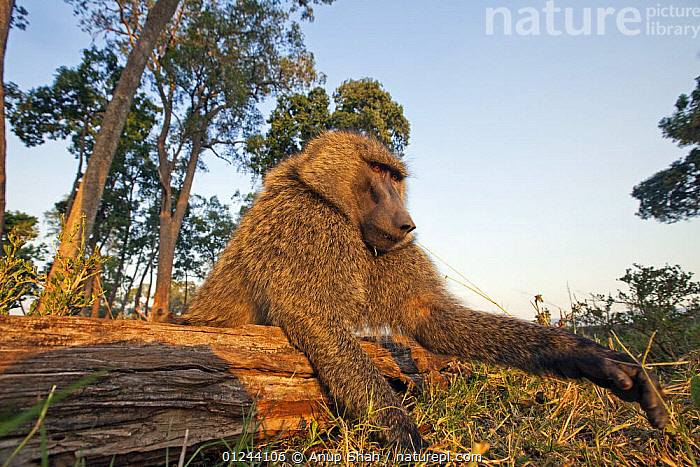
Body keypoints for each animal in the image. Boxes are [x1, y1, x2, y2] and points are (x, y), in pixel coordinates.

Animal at [172, 131, 668, 450]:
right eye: (375, 169)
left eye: (396, 177)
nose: (407, 222)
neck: (335, 206)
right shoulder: (307, 221)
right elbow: (315, 319)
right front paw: (401, 431)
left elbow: (431, 317)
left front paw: (591, 359)